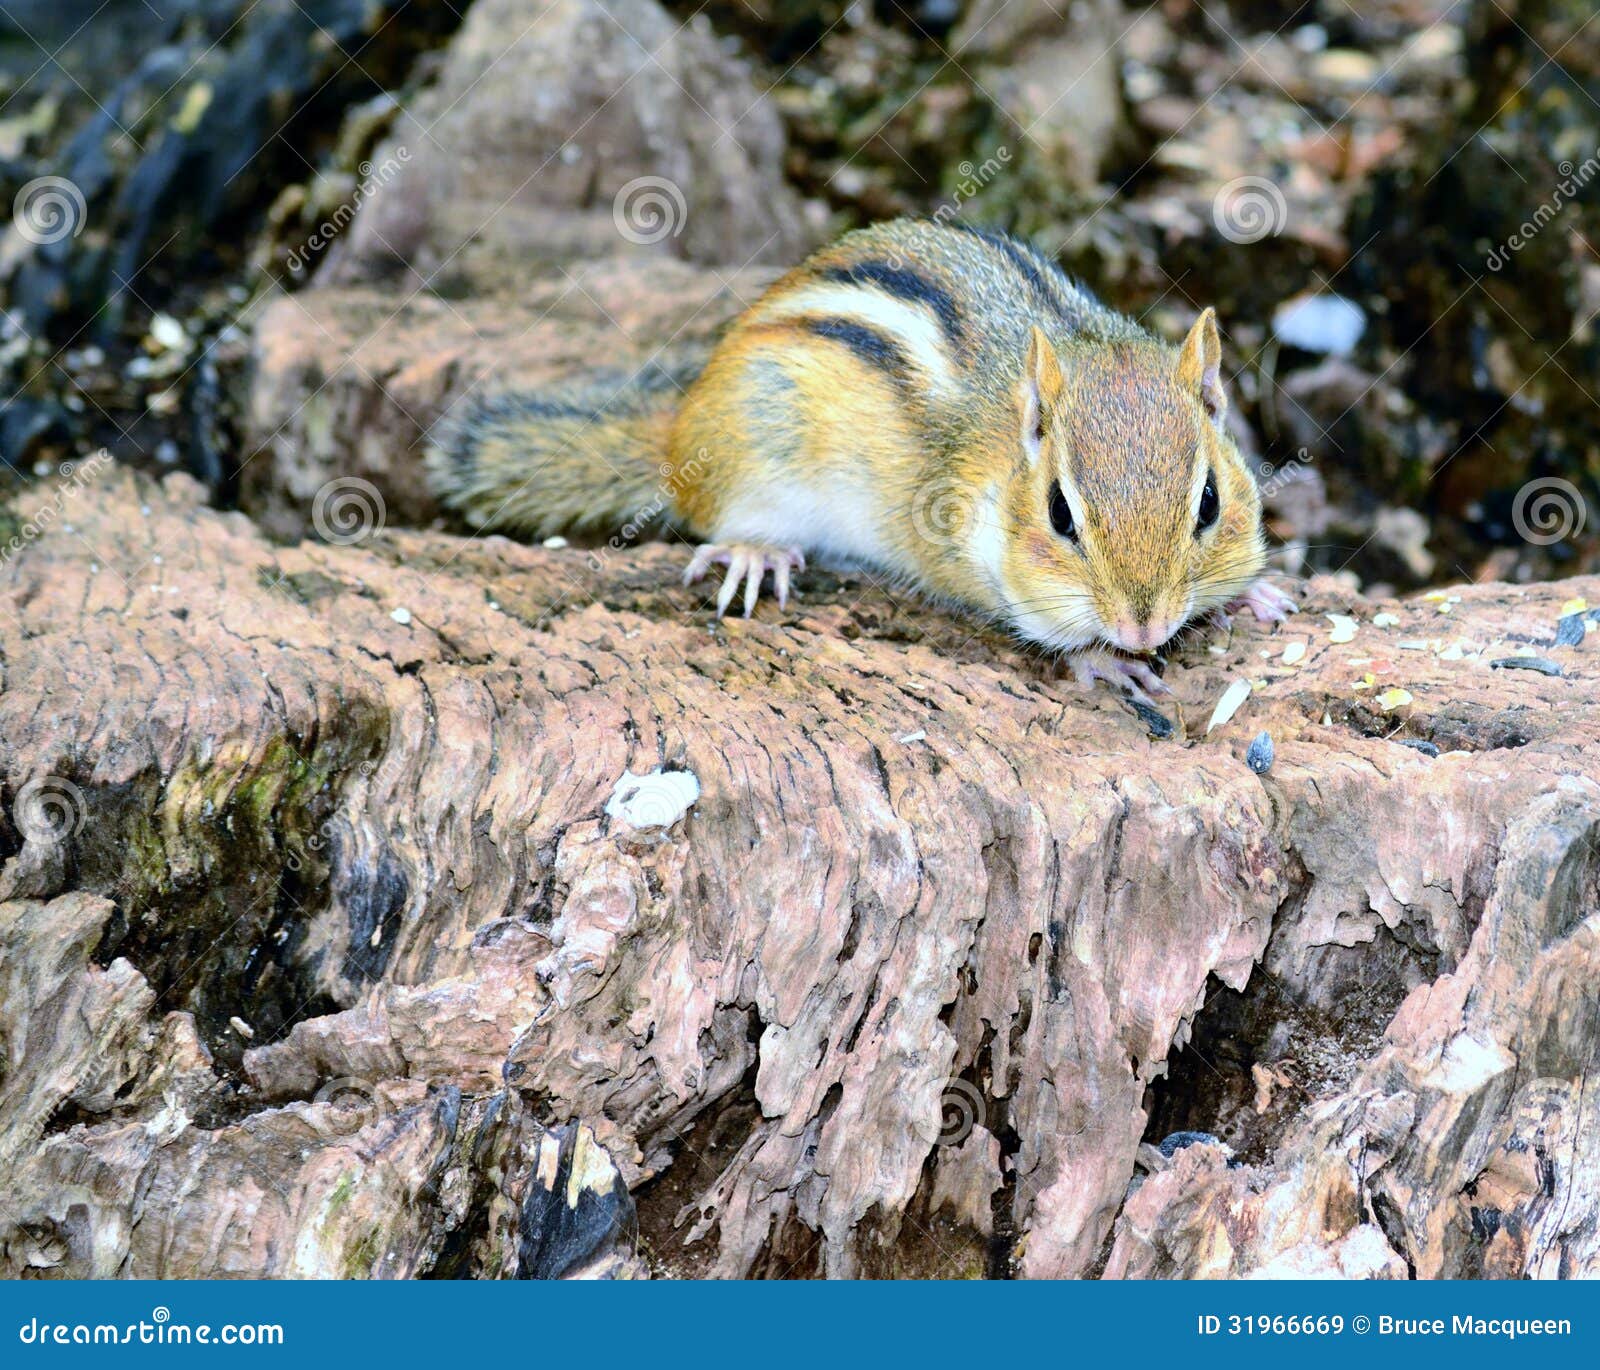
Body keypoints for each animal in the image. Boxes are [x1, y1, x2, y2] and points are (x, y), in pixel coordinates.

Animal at [427, 218, 1295, 697]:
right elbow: (1027, 622)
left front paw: (1253, 595)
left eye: (1210, 503)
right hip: (757, 453)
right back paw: (756, 551)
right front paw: (1098, 661)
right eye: (1059, 515)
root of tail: (675, 435)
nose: (1143, 627)